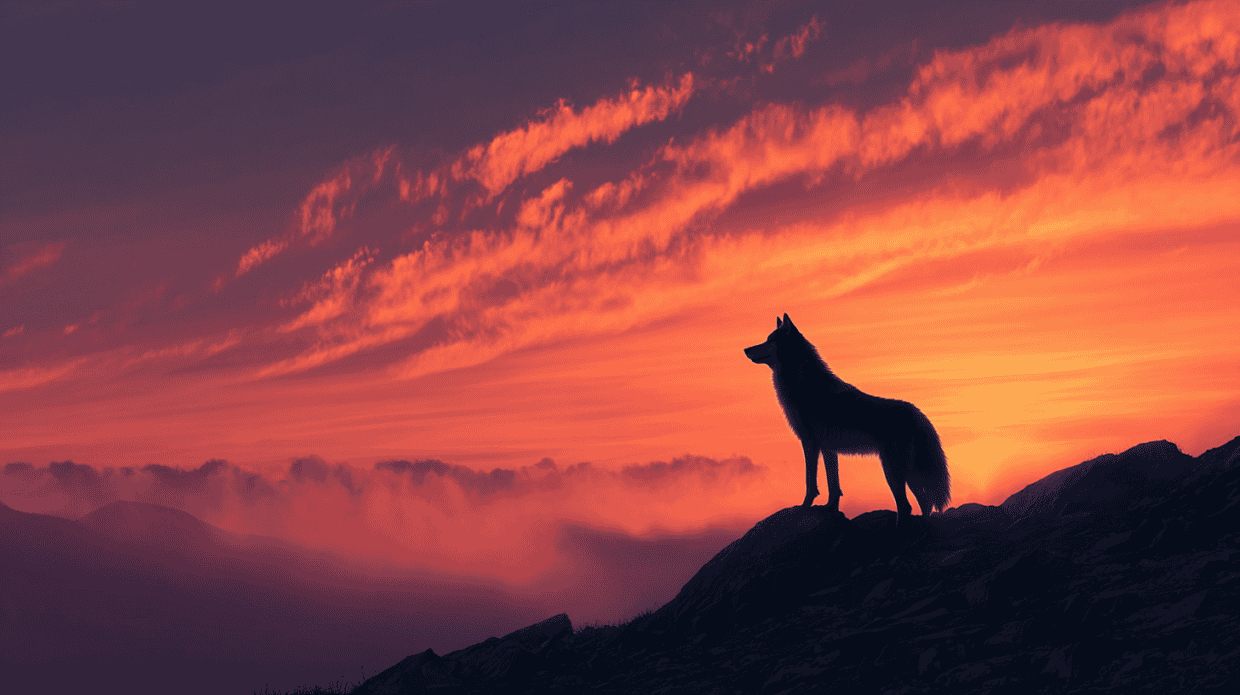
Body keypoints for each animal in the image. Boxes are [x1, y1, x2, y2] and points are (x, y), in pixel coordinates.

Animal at [745, 314, 950, 526]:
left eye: (770, 341)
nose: (746, 349)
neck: (804, 385)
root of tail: (918, 413)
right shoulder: (828, 448)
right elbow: (833, 486)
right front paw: (829, 509)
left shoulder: (810, 443)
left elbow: (810, 483)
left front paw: (803, 508)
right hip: (908, 473)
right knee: (924, 504)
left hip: (893, 470)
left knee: (907, 506)